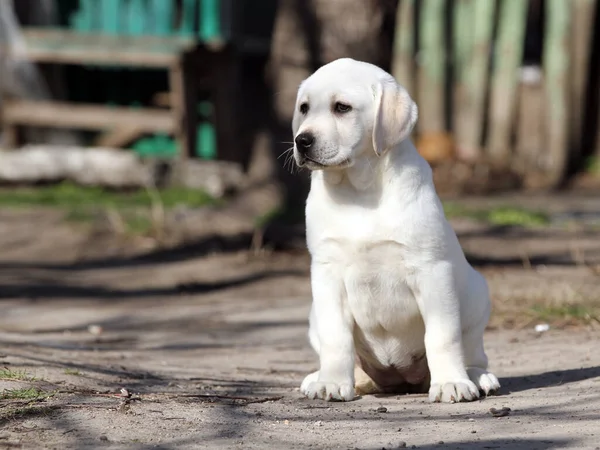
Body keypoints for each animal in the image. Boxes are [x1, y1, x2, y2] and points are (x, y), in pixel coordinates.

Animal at [292, 59, 500, 400]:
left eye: (342, 107)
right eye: (304, 108)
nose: (301, 140)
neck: (360, 190)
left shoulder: (431, 270)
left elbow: (442, 335)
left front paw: (451, 383)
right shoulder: (326, 273)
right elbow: (336, 338)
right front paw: (332, 382)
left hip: (476, 295)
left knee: (473, 351)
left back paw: (476, 377)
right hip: (312, 314)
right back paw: (322, 378)